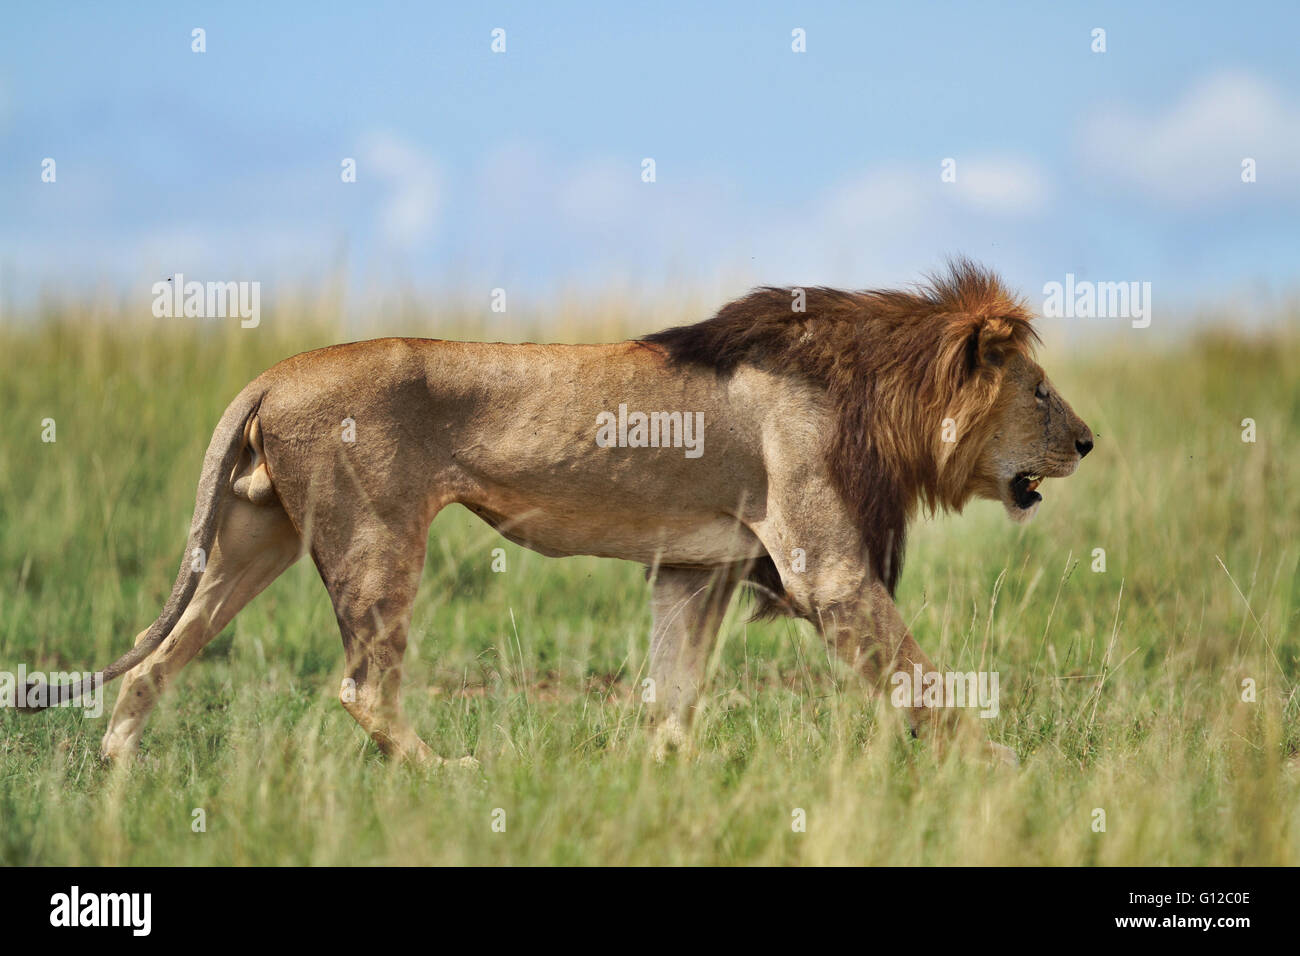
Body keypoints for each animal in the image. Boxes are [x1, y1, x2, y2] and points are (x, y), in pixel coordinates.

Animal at [22, 260, 1092, 767]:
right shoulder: (823, 567)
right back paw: (450, 774)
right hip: (376, 537)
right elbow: (922, 677)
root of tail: (275, 370)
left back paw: (118, 775)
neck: (878, 391)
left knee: (158, 656)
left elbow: (674, 689)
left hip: (256, 539)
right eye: (1040, 392)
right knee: (362, 688)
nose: (1086, 443)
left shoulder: (695, 567)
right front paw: (998, 761)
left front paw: (660, 775)